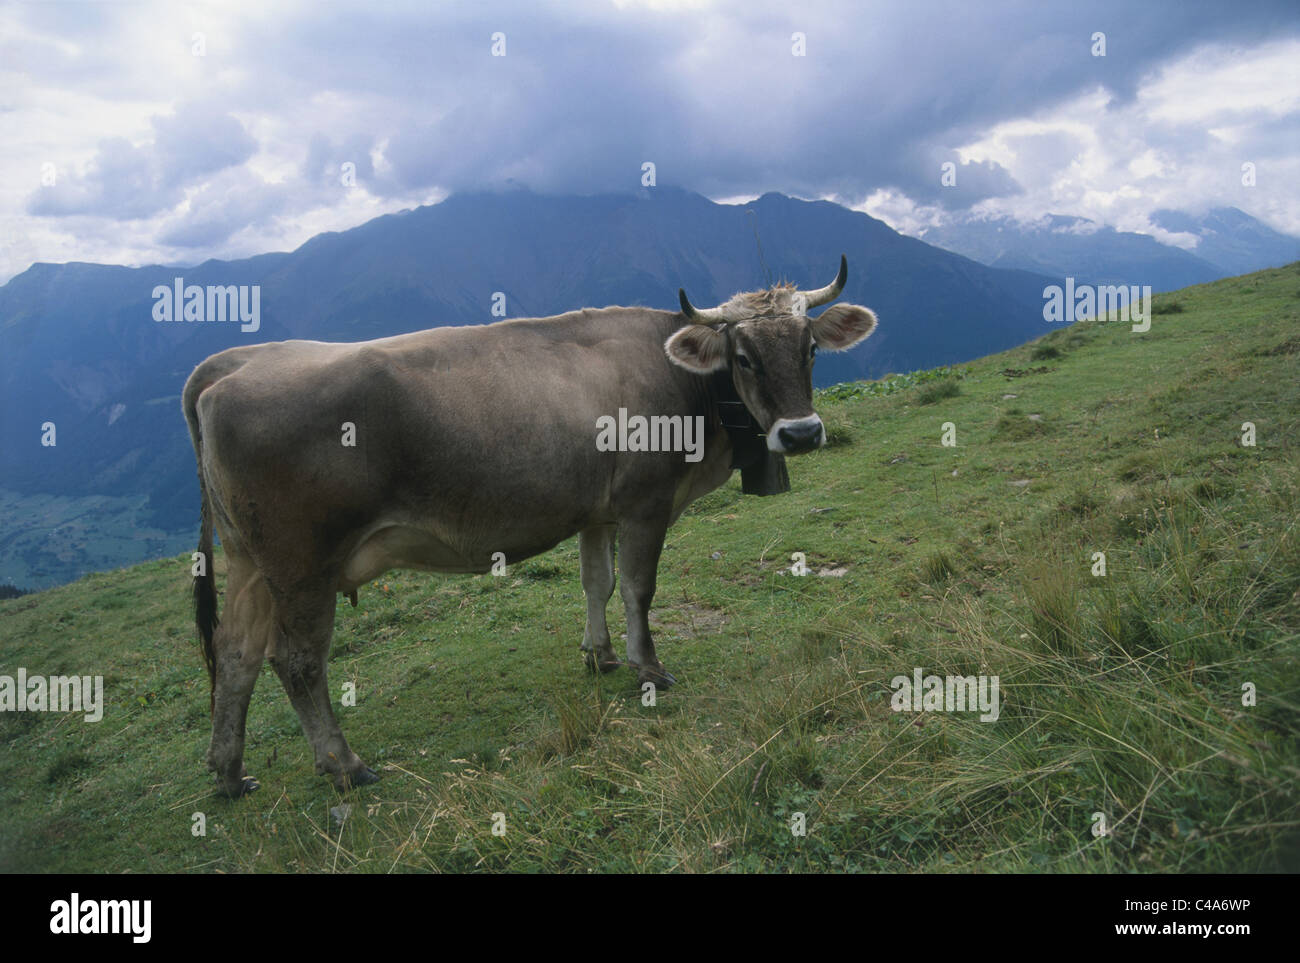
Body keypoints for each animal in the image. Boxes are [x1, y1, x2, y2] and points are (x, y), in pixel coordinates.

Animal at [183, 256, 877, 796]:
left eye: (810, 348)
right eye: (744, 356)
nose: (802, 433)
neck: (682, 383)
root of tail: (228, 365)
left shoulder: (597, 510)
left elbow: (596, 583)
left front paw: (600, 655)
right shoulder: (645, 503)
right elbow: (638, 589)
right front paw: (647, 668)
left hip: (248, 560)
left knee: (235, 653)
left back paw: (228, 773)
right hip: (302, 562)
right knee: (297, 661)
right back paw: (344, 765)